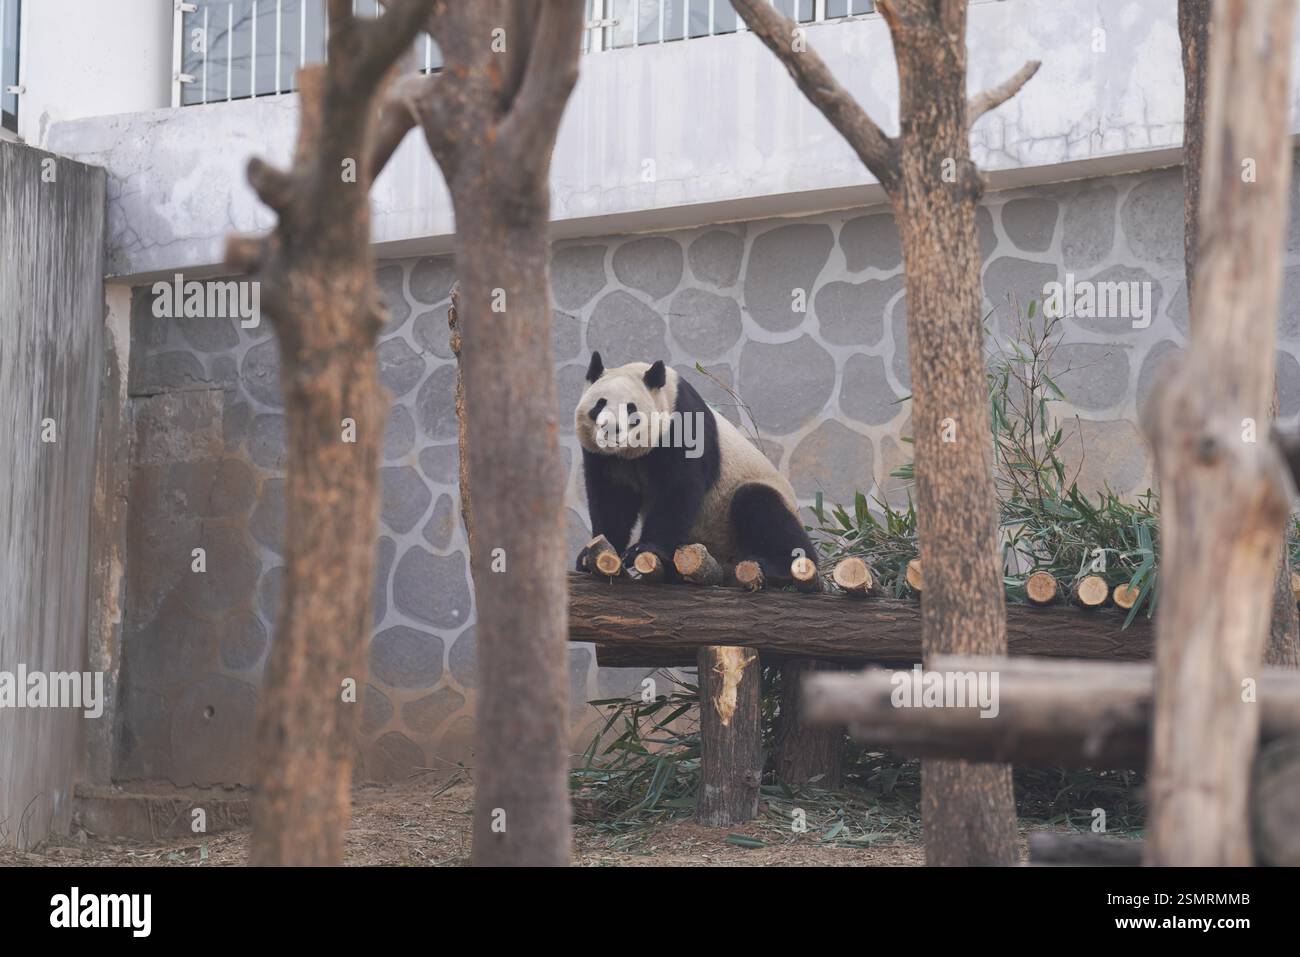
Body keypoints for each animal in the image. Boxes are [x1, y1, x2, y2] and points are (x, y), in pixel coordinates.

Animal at [573, 351, 816, 581]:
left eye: (631, 409)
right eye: (600, 404)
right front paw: (594, 555)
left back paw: (778, 566)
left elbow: (677, 487)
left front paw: (643, 549)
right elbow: (611, 500)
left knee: (761, 505)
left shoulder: (683, 425)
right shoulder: (603, 457)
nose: (611, 428)